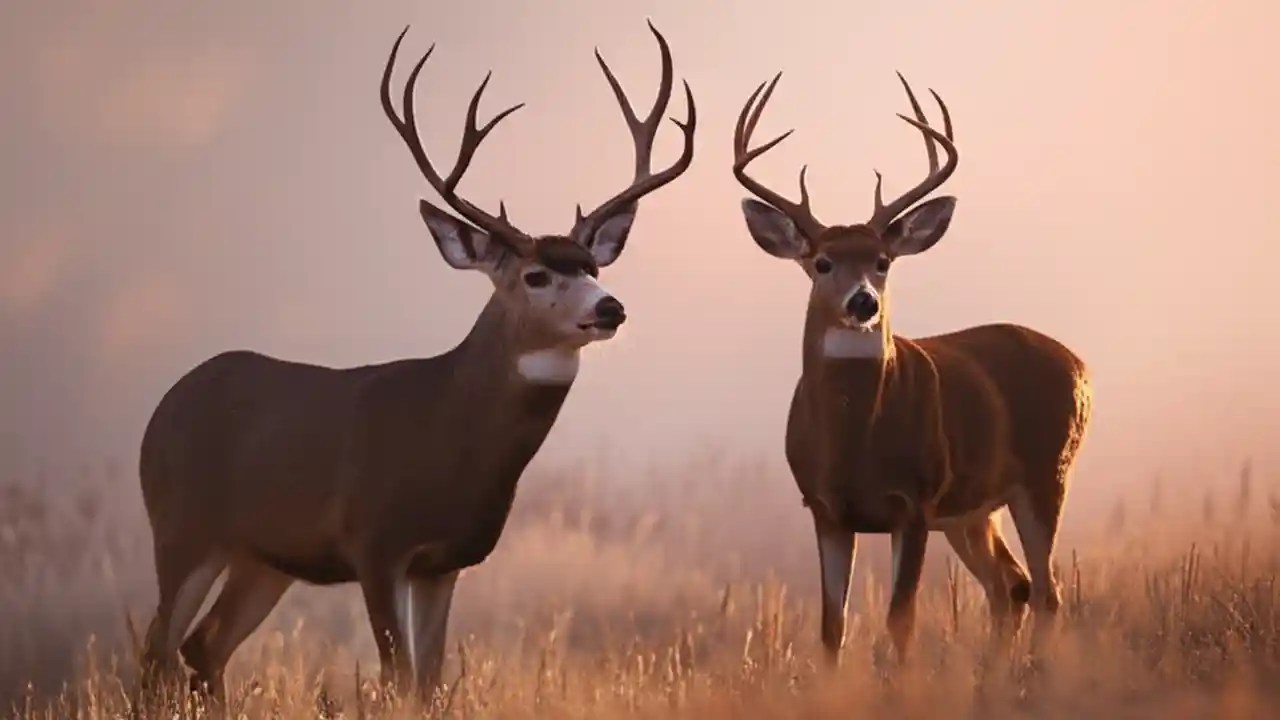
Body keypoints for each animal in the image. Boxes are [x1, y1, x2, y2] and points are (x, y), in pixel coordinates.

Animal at [137, 21, 695, 700]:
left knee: (202, 646)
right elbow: (397, 676)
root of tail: (164, 405)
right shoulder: (374, 542)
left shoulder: (445, 561)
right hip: (181, 527)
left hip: (264, 556)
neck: (447, 434)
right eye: (536, 274)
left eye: (593, 267)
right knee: (156, 650)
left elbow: (428, 679)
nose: (611, 306)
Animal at [731, 72, 1091, 667]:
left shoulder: (916, 501)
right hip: (973, 510)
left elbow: (899, 623)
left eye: (883, 261)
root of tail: (1079, 364)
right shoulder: (825, 508)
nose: (863, 302)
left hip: (1046, 474)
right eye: (821, 262)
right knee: (1010, 586)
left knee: (1046, 591)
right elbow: (832, 630)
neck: (855, 442)